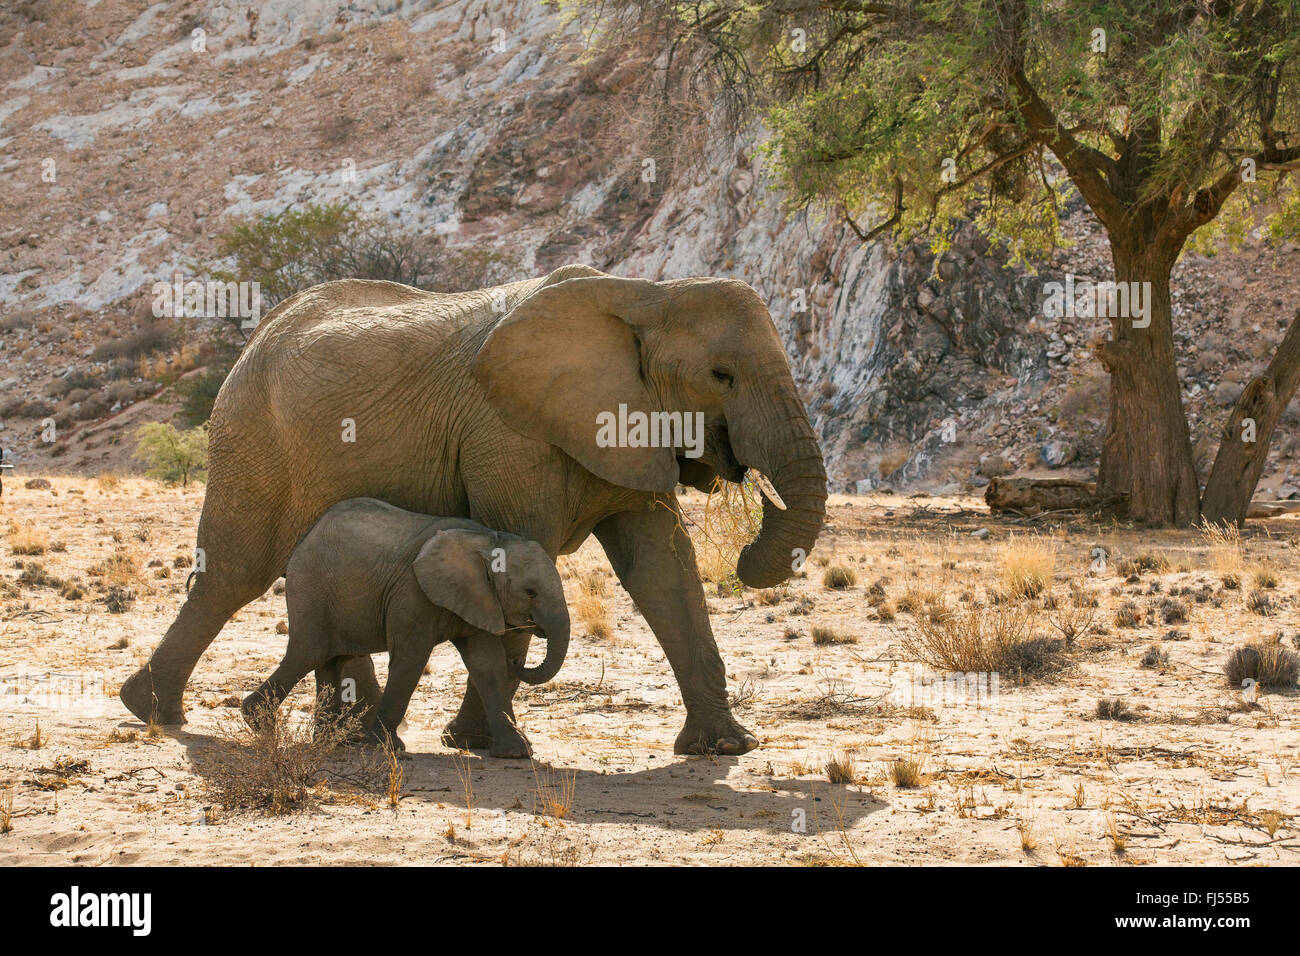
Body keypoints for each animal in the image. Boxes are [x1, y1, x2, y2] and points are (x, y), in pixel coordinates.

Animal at [241, 499, 568, 757]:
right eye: (530, 592)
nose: (519, 661)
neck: (487, 541)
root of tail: (303, 540)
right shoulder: (412, 592)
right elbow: (411, 660)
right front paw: (386, 747)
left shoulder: (482, 599)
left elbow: (487, 664)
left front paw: (517, 753)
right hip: (310, 589)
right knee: (308, 654)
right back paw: (258, 721)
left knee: (331, 660)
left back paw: (333, 741)